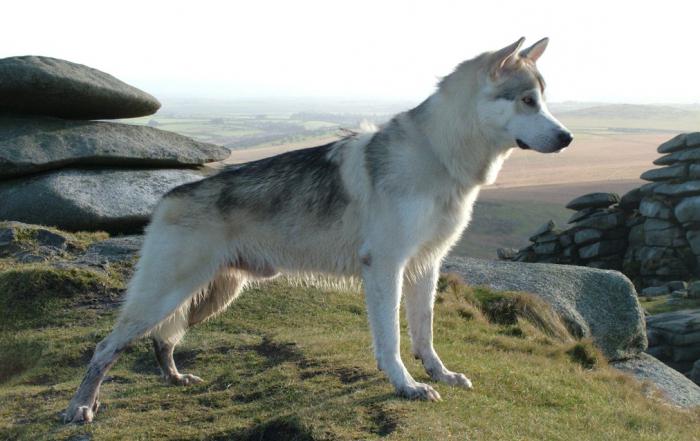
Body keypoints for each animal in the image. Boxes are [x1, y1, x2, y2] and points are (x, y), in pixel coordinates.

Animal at [64, 36, 576, 422]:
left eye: (544, 101)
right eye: (527, 100)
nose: (568, 138)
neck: (439, 156)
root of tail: (169, 197)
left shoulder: (426, 267)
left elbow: (424, 336)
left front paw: (439, 375)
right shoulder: (385, 269)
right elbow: (391, 342)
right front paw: (407, 387)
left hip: (212, 295)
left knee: (162, 340)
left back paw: (174, 379)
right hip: (167, 295)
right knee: (107, 346)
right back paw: (80, 409)